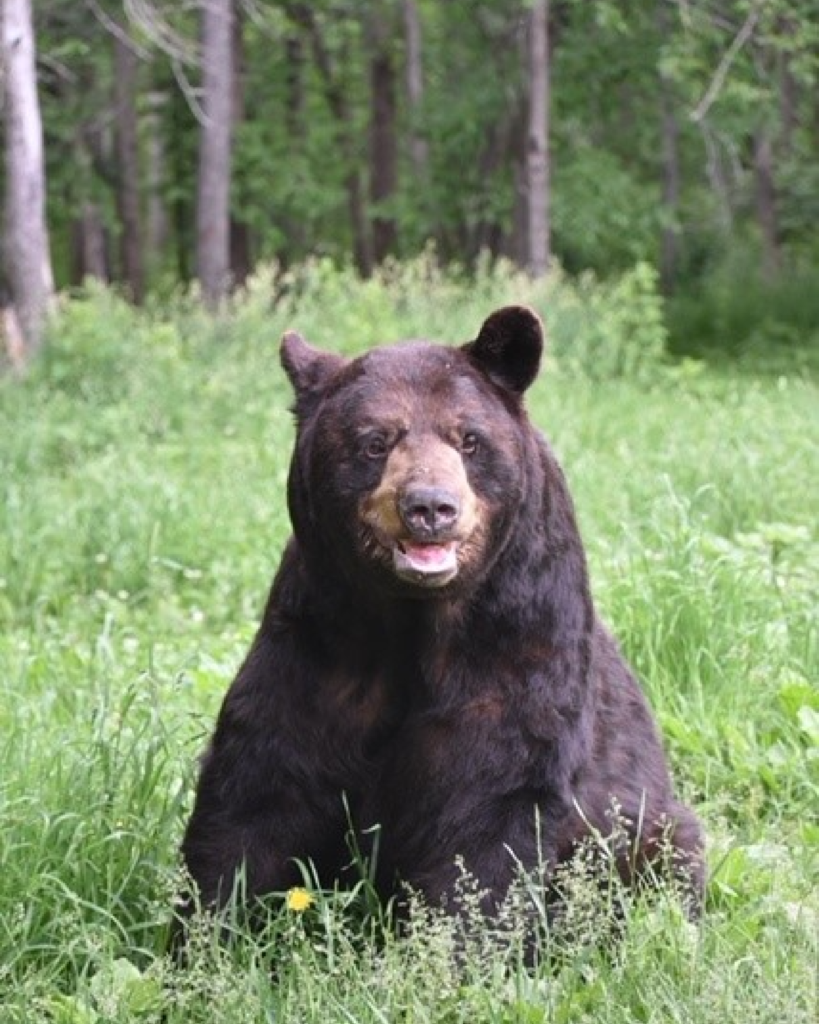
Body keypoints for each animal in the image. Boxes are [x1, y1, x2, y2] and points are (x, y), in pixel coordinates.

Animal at [180, 305, 704, 928]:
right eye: (375, 441)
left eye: (469, 439)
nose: (430, 506)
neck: (411, 623)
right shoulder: (316, 641)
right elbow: (256, 790)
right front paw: (207, 932)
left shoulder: (519, 643)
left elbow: (485, 812)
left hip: (650, 831)